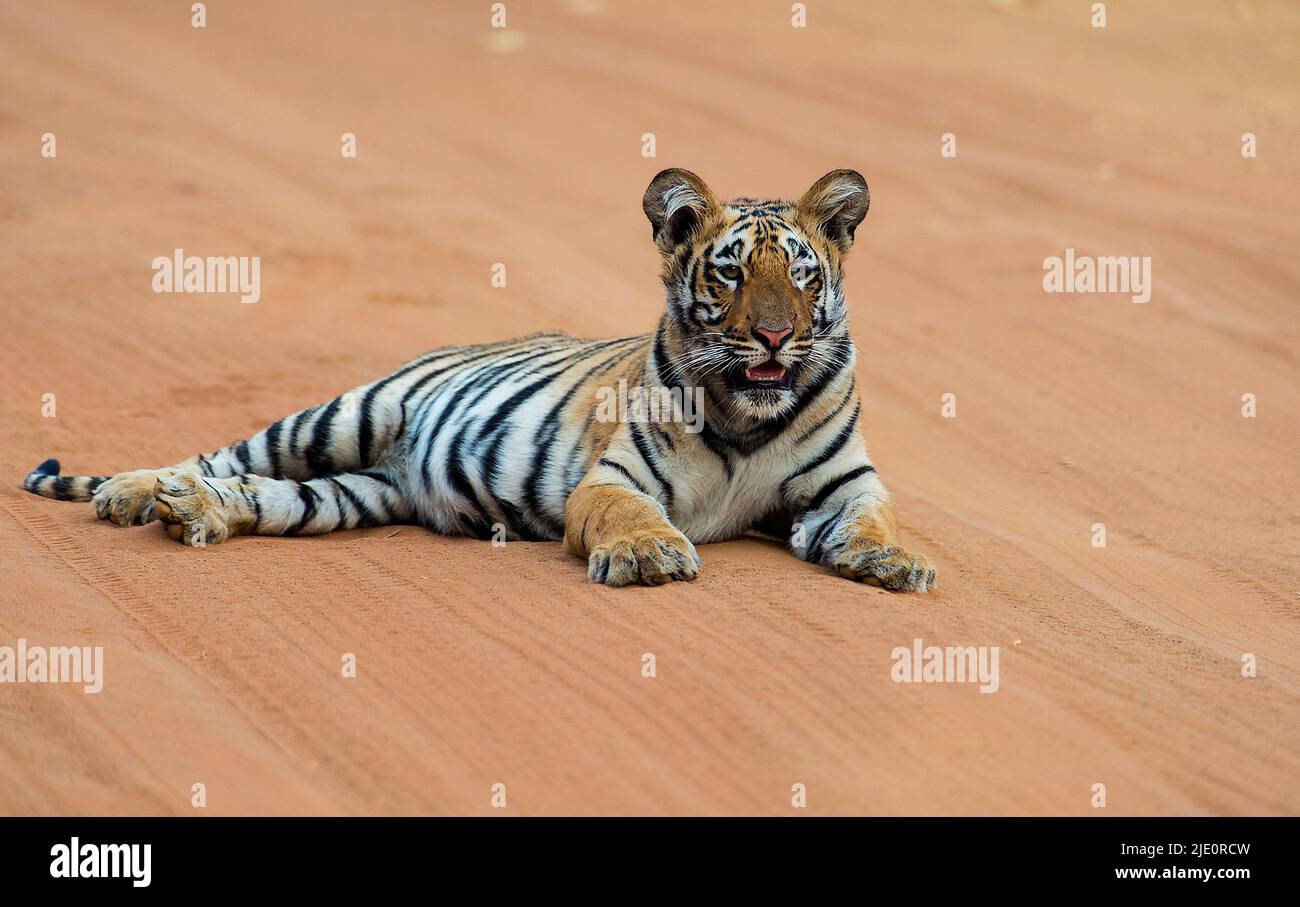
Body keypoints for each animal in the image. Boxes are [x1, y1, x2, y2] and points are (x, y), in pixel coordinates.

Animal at [23, 168, 936, 592]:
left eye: (804, 276)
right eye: (732, 273)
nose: (776, 335)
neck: (750, 416)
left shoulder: (846, 484)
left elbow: (872, 520)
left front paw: (895, 563)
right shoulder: (614, 477)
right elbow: (631, 514)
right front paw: (648, 554)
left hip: (351, 492)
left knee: (262, 494)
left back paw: (195, 513)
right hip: (344, 415)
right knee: (221, 455)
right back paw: (140, 492)